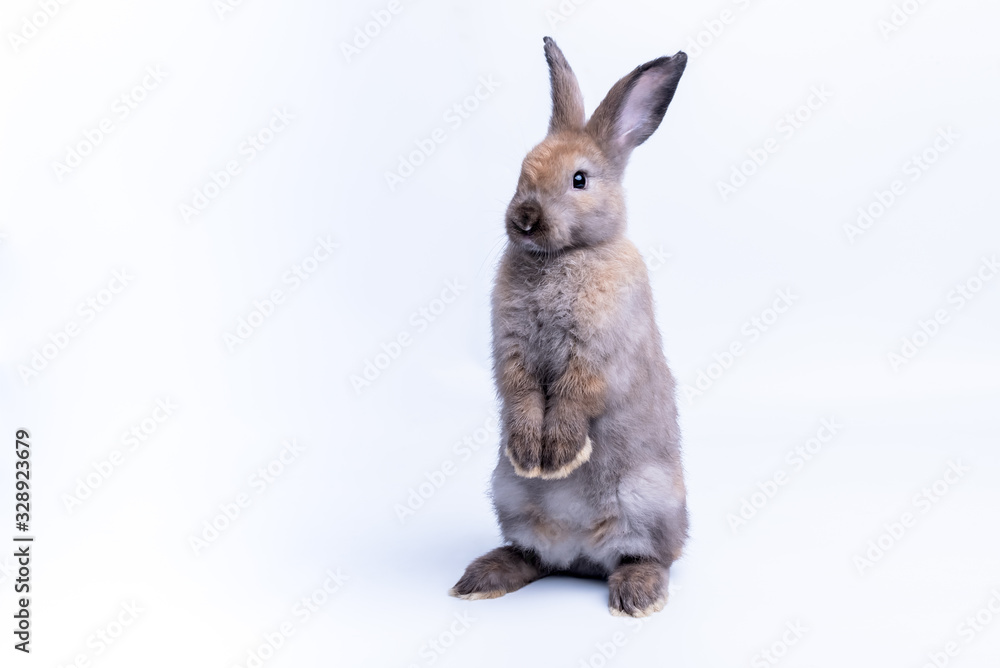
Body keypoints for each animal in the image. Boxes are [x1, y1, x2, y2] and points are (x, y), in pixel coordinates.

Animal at [450, 37, 689, 617]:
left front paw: (556, 456)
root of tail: (582, 560)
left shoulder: (596, 353)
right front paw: (530, 453)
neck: (564, 255)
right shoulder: (511, 351)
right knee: (533, 556)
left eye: (579, 179)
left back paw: (637, 595)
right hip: (510, 496)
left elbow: (575, 396)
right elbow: (520, 394)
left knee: (651, 557)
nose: (525, 218)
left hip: (646, 502)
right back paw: (482, 578)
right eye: (522, 169)